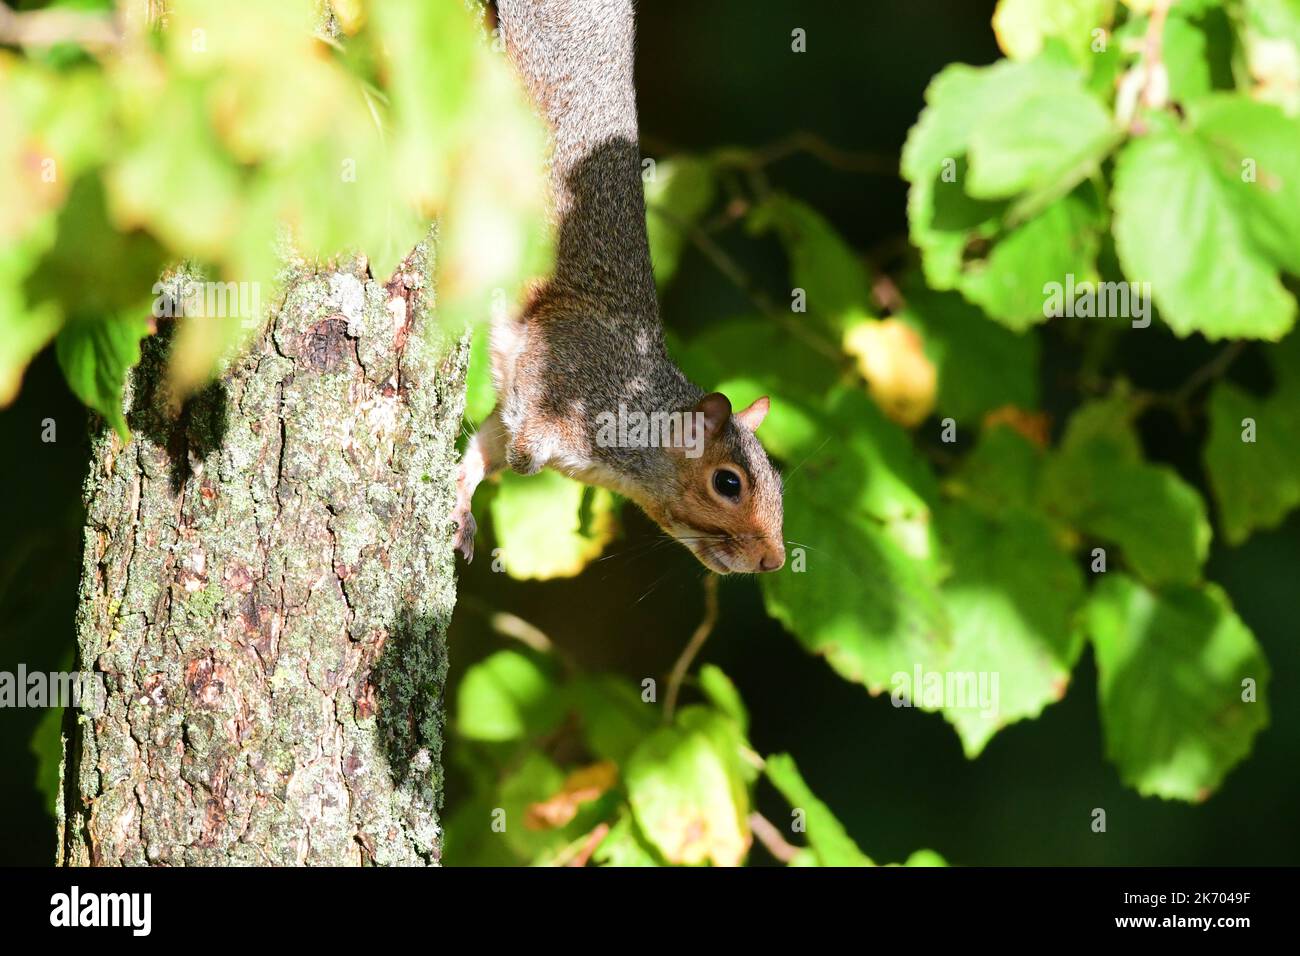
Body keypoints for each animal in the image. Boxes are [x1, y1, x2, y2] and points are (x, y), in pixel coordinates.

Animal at [452, 0, 785, 575]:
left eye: (780, 486)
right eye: (728, 483)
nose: (775, 560)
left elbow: (484, 449)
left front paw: (461, 505)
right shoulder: (559, 367)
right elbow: (522, 437)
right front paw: (523, 459)